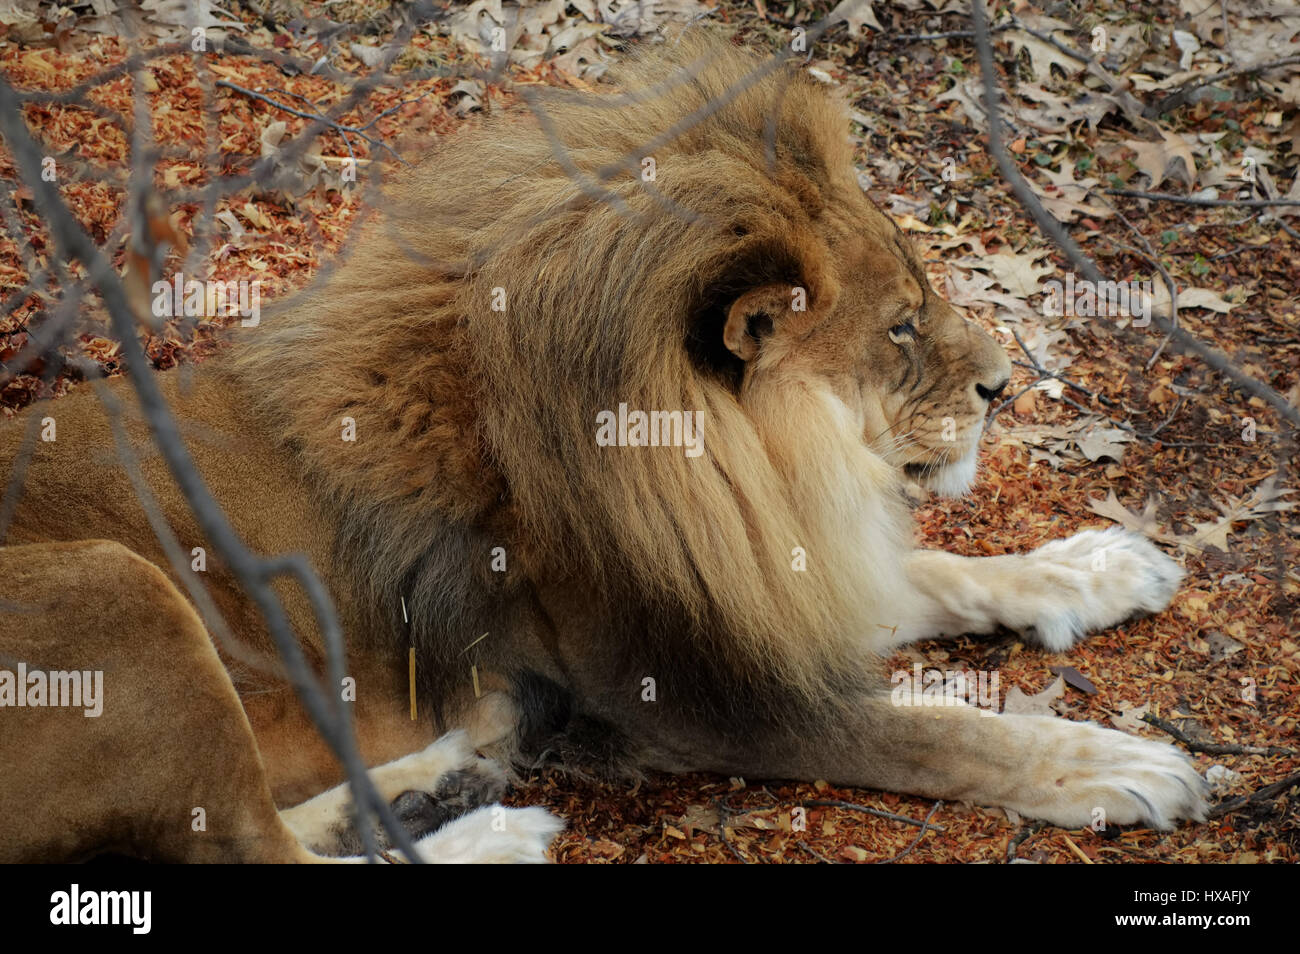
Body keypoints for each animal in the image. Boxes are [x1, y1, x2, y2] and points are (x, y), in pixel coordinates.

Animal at [0, 33, 1206, 863]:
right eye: (902, 327)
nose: (1006, 384)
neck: (749, 471)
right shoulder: (680, 692)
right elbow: (938, 737)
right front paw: (1118, 762)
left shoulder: (758, 578)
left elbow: (944, 571)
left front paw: (1094, 567)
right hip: (121, 591)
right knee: (248, 849)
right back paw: (494, 825)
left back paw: (447, 772)